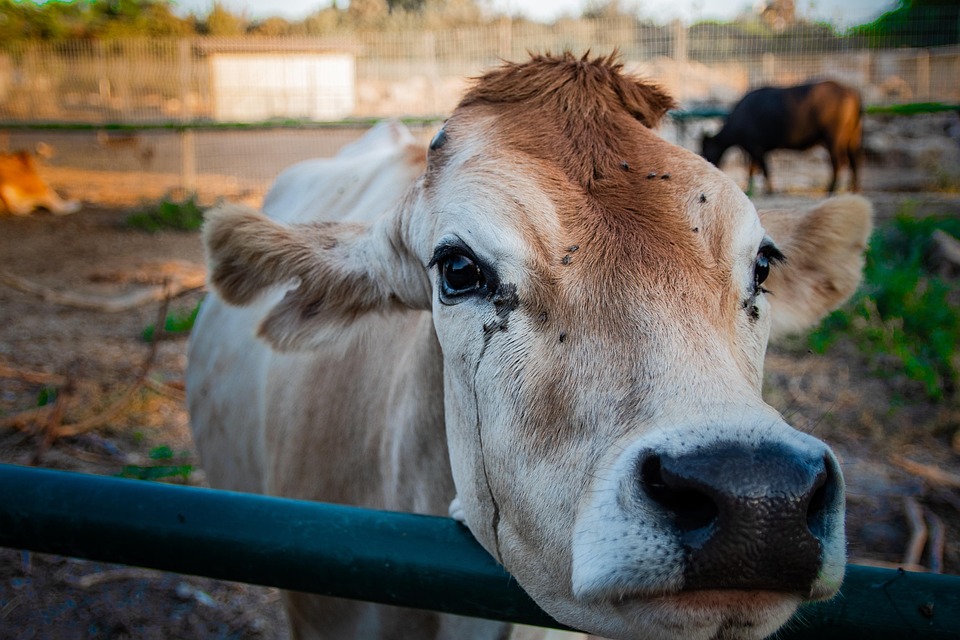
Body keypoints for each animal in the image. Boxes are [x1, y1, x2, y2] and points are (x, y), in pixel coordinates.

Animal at [700, 80, 863, 195]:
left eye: (705, 150)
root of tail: (850, 90)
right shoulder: (755, 150)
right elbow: (754, 169)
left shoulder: (756, 148)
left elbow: (764, 169)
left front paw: (770, 189)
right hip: (853, 137)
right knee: (855, 161)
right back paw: (855, 189)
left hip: (833, 138)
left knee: (839, 163)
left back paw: (831, 190)